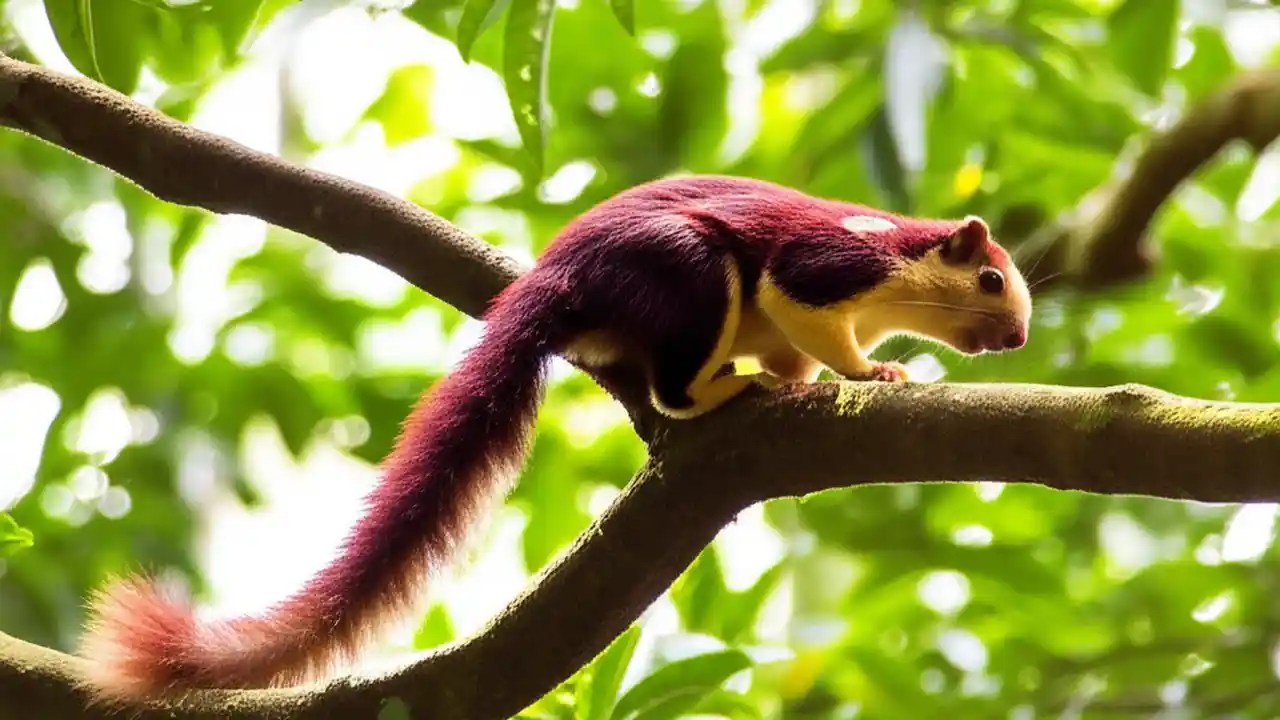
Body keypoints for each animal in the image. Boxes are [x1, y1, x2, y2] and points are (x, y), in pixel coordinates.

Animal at [80, 175, 1032, 698]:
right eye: (990, 278)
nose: (1019, 337)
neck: (900, 277)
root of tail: (558, 281)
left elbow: (794, 347)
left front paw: (815, 375)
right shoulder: (824, 269)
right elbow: (805, 312)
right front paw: (872, 373)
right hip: (688, 271)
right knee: (675, 383)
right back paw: (721, 389)